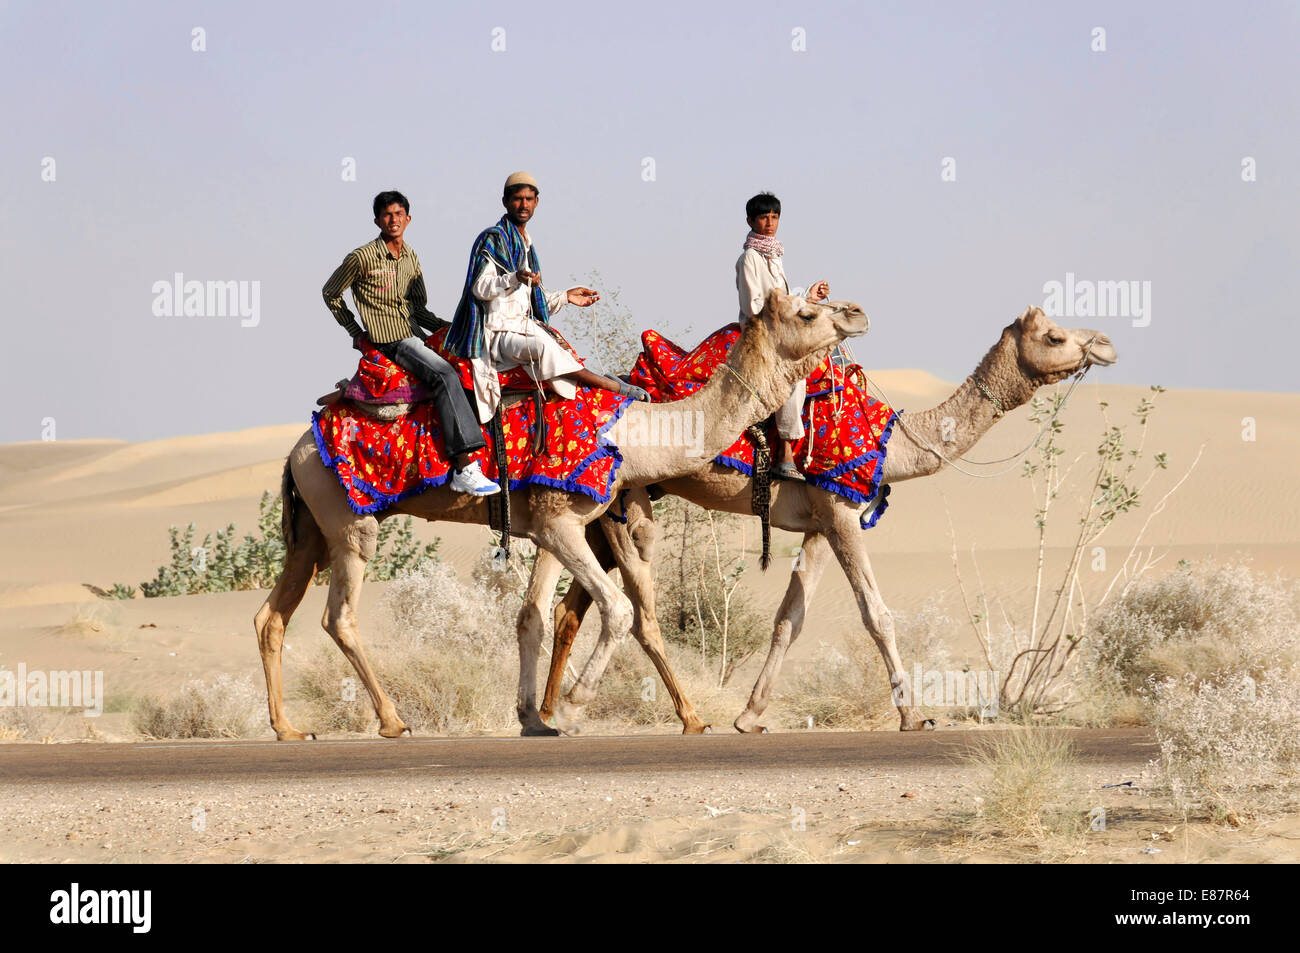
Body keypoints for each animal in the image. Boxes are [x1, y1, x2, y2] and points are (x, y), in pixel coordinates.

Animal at [252, 290, 868, 740]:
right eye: (807, 311)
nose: (857, 312)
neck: (630, 433)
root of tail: (297, 450)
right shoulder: (558, 520)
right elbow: (618, 610)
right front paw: (569, 710)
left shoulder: (560, 522)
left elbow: (554, 614)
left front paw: (540, 717)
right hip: (349, 520)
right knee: (339, 615)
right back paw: (392, 721)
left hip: (311, 529)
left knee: (272, 615)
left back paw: (288, 729)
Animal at [532, 306, 1117, 733]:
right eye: (1055, 337)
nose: (1106, 344)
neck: (892, 442)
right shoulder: (841, 515)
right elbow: (876, 614)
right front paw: (912, 716)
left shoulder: (820, 522)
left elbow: (789, 619)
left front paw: (750, 716)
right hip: (621, 507)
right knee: (624, 607)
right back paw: (645, 716)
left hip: (603, 512)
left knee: (569, 608)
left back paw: (545, 714)